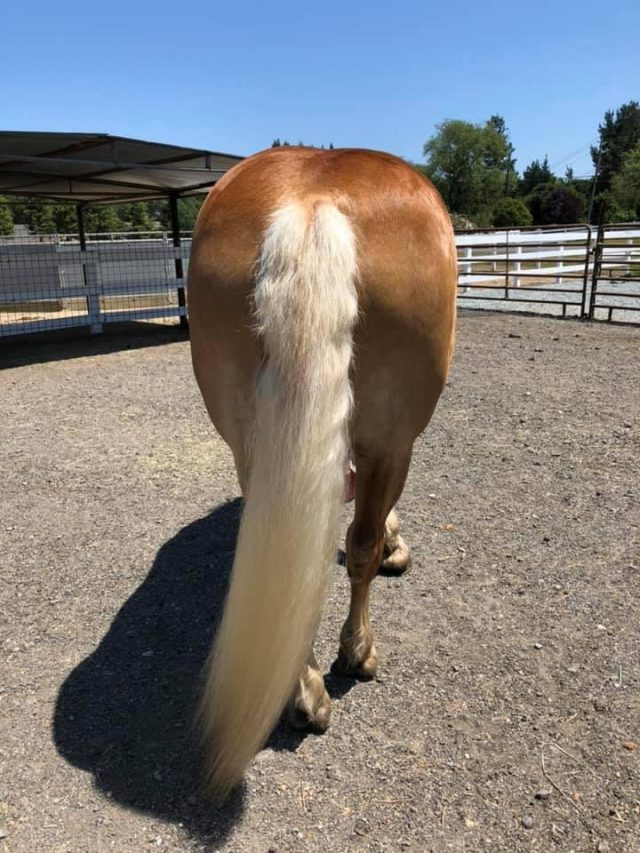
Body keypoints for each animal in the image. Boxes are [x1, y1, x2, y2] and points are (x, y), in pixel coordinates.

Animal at [187, 146, 457, 798]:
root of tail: (309, 202)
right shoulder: (392, 447)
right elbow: (368, 536)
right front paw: (394, 547)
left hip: (252, 442)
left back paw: (303, 691)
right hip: (391, 437)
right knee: (354, 548)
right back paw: (354, 656)